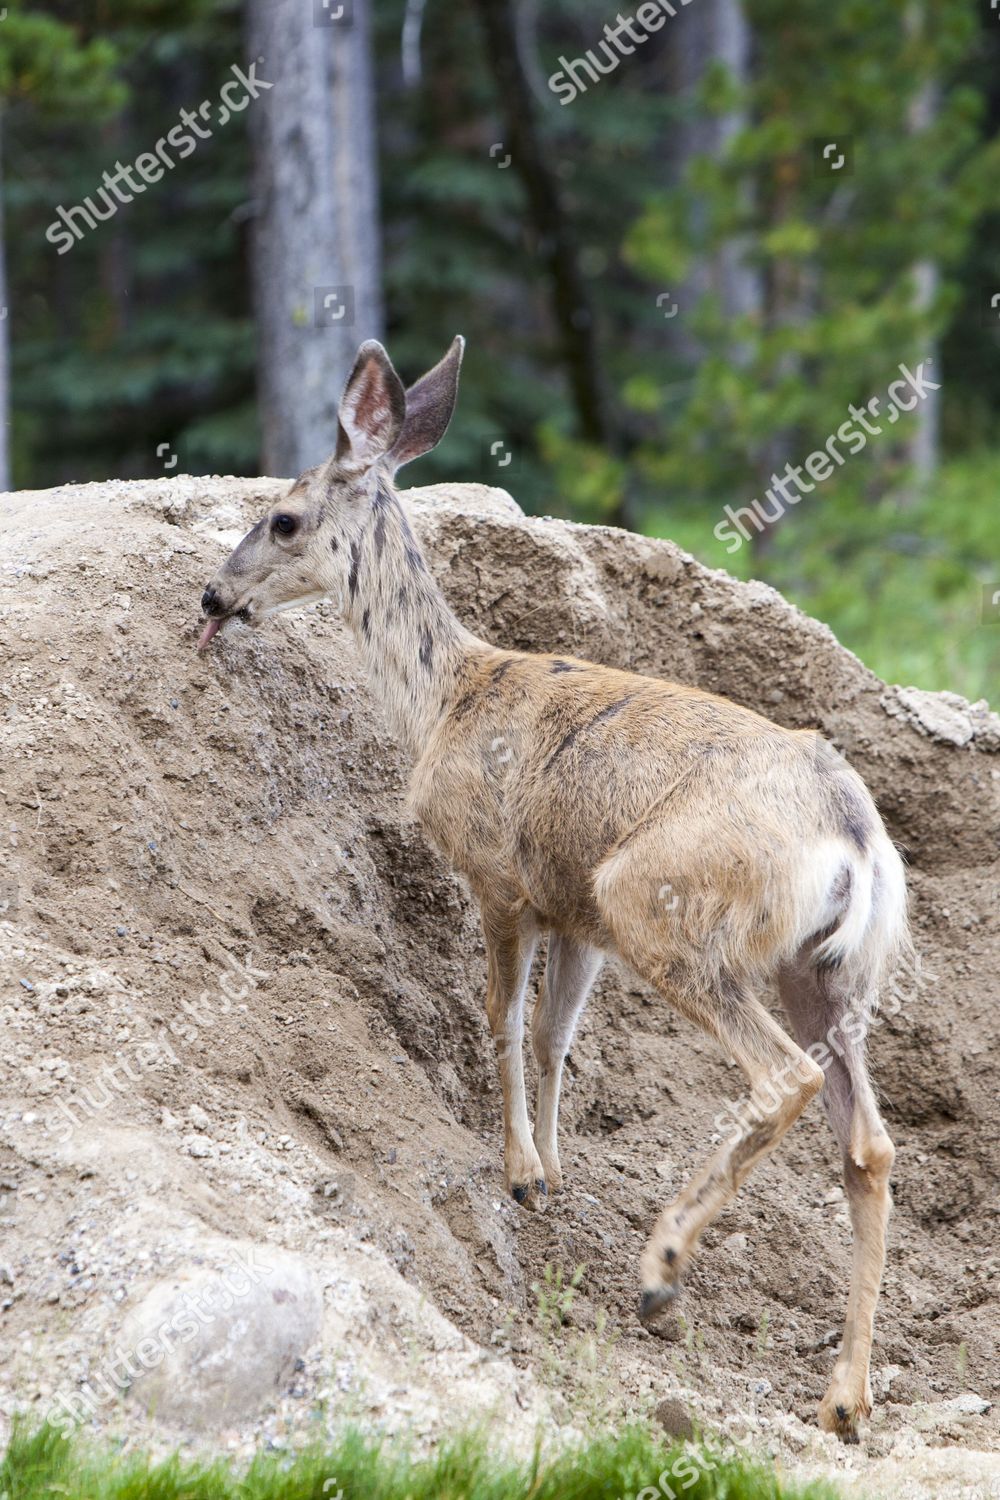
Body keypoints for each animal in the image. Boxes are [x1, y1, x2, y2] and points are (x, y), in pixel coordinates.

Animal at [197, 336, 909, 1442]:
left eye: (283, 517)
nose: (210, 598)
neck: (442, 699)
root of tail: (856, 837)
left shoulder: (501, 876)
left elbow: (497, 1017)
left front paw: (522, 1174)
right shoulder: (573, 915)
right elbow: (554, 1035)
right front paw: (558, 1173)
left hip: (664, 906)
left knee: (781, 1079)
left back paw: (662, 1270)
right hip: (825, 971)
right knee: (869, 1146)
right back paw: (843, 1399)